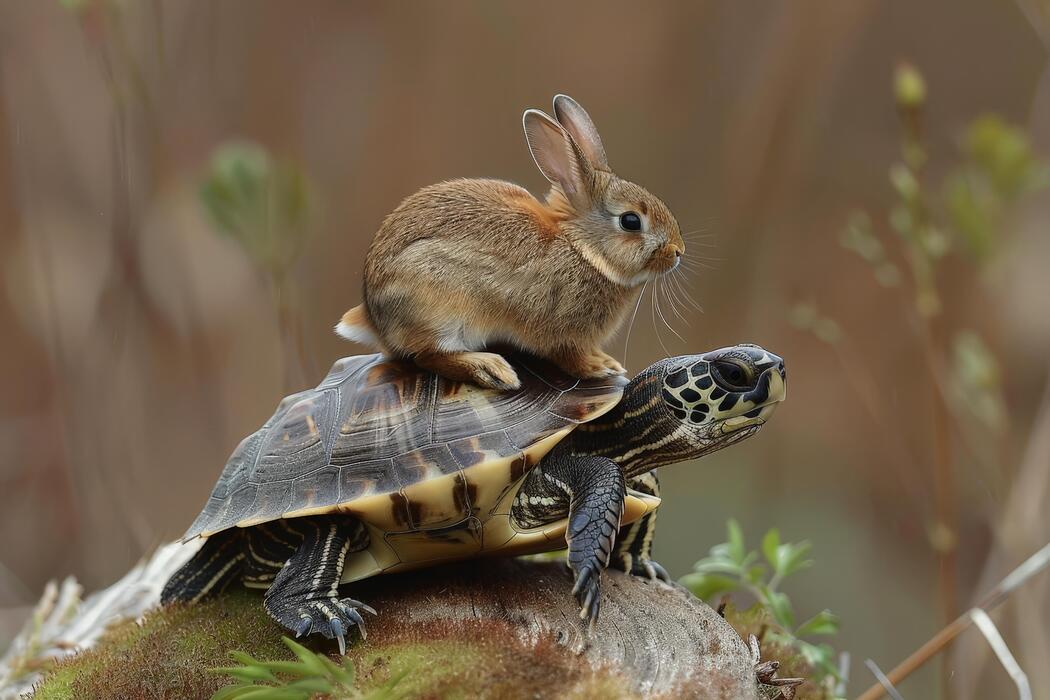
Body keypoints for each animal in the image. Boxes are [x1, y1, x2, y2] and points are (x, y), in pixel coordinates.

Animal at [336, 94, 684, 390]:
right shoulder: (559, 332)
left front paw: (606, 362)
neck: (583, 250)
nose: (677, 251)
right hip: (438, 308)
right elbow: (570, 357)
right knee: (428, 355)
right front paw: (599, 368)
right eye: (630, 221)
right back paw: (489, 368)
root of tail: (372, 317)